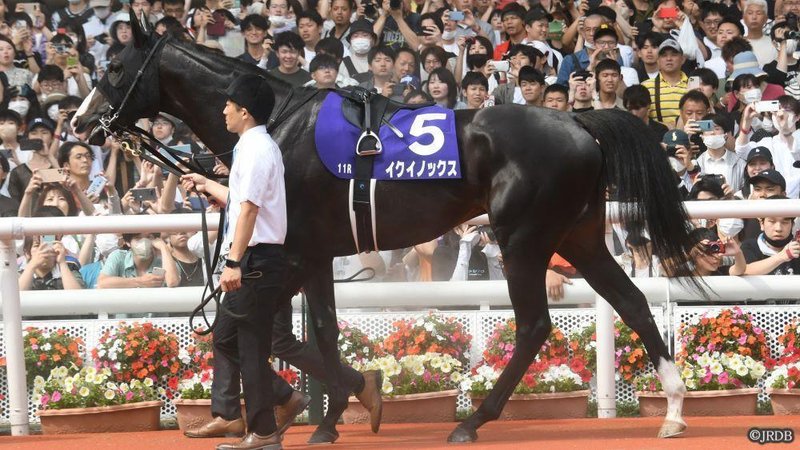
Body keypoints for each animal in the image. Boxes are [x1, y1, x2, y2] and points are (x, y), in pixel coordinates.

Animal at [73, 18, 698, 443]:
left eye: (115, 70)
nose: (80, 123)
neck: (278, 122)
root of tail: (581, 122)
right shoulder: (315, 254)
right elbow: (317, 332)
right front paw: (332, 414)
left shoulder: (303, 249)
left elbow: (312, 333)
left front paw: (340, 409)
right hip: (580, 235)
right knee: (632, 302)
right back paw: (672, 408)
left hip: (523, 239)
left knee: (534, 326)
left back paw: (473, 420)